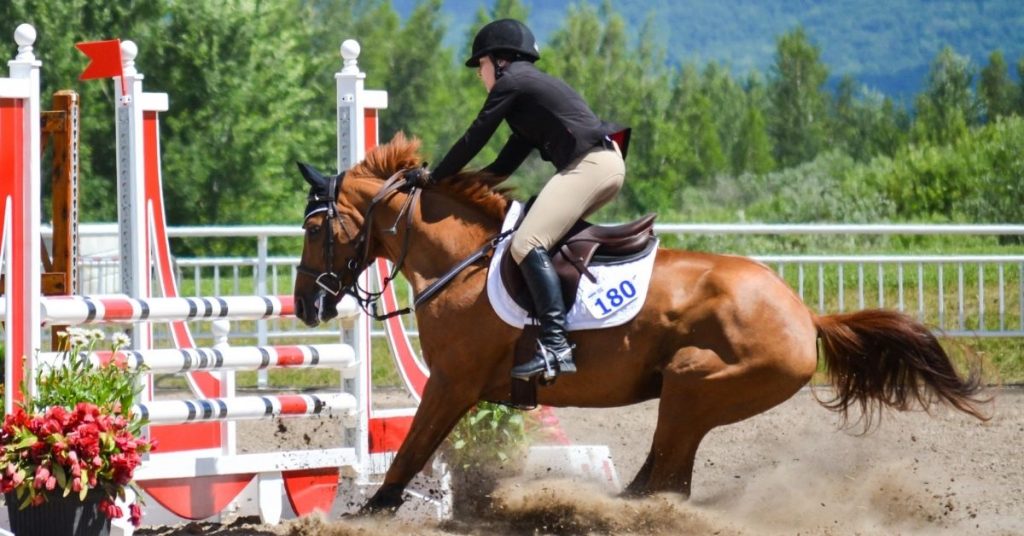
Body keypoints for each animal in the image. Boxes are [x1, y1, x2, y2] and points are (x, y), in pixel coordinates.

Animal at [292, 134, 988, 513]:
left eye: (315, 226)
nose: (306, 306)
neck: (460, 260)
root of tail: (804, 313)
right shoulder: (459, 388)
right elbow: (417, 453)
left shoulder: (452, 385)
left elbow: (410, 455)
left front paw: (368, 511)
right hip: (691, 398)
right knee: (662, 478)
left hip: (692, 384)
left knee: (669, 483)